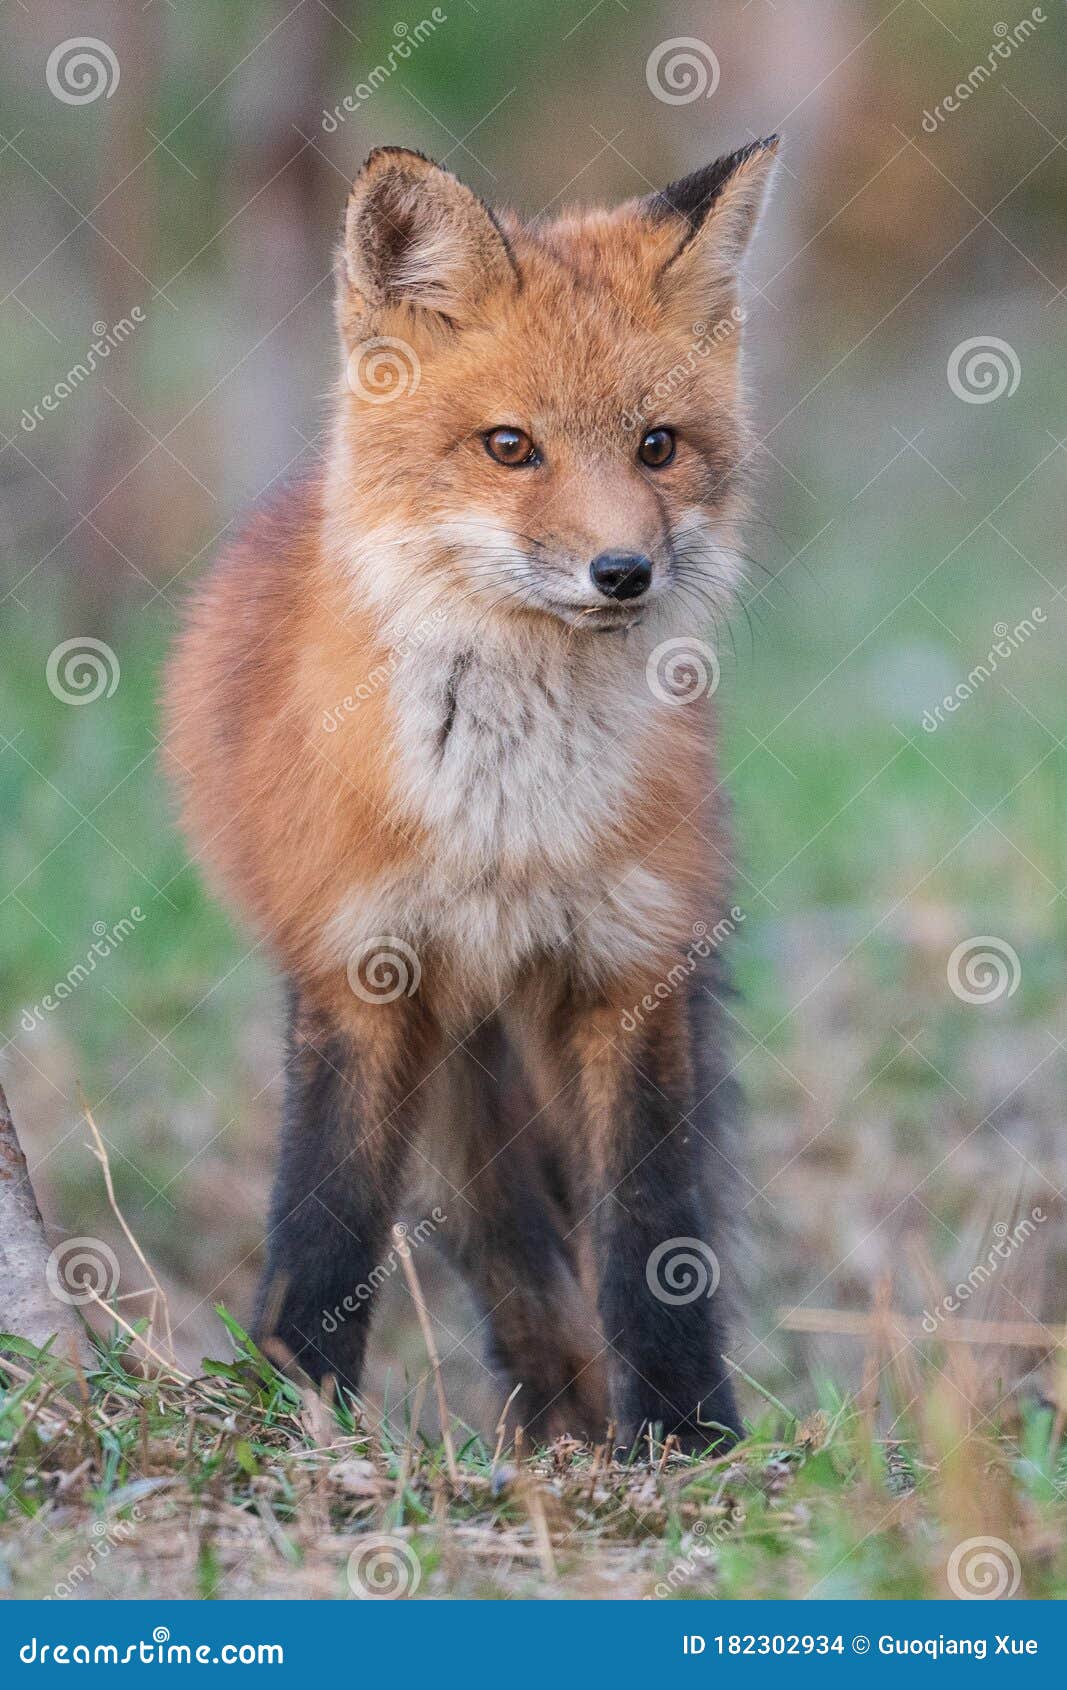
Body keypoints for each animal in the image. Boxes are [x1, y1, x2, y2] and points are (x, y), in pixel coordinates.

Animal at [164, 137, 779, 1451]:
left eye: (657, 446)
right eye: (510, 446)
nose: (621, 572)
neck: (509, 830)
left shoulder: (627, 973)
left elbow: (656, 1240)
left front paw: (689, 1442)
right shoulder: (359, 973)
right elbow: (324, 1218)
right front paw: (298, 1414)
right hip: (457, 1077)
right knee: (512, 1256)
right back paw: (551, 1423)